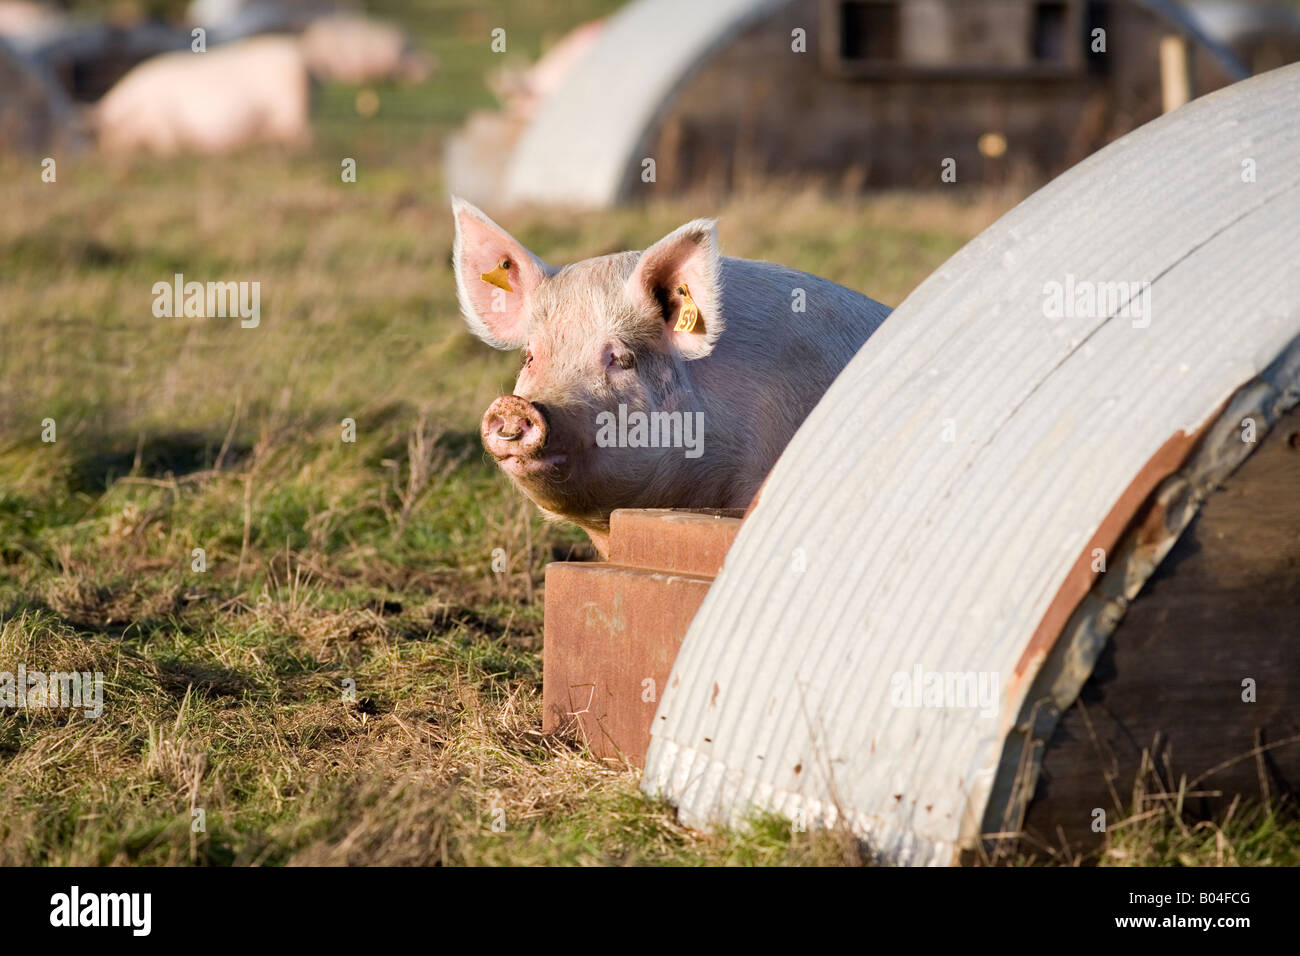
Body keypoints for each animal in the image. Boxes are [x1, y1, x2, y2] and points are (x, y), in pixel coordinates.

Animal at [95, 37, 310, 155]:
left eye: (107, 131)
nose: (103, 152)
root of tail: (297, 53)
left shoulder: (161, 127)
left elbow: (167, 148)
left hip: (290, 109)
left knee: (302, 138)